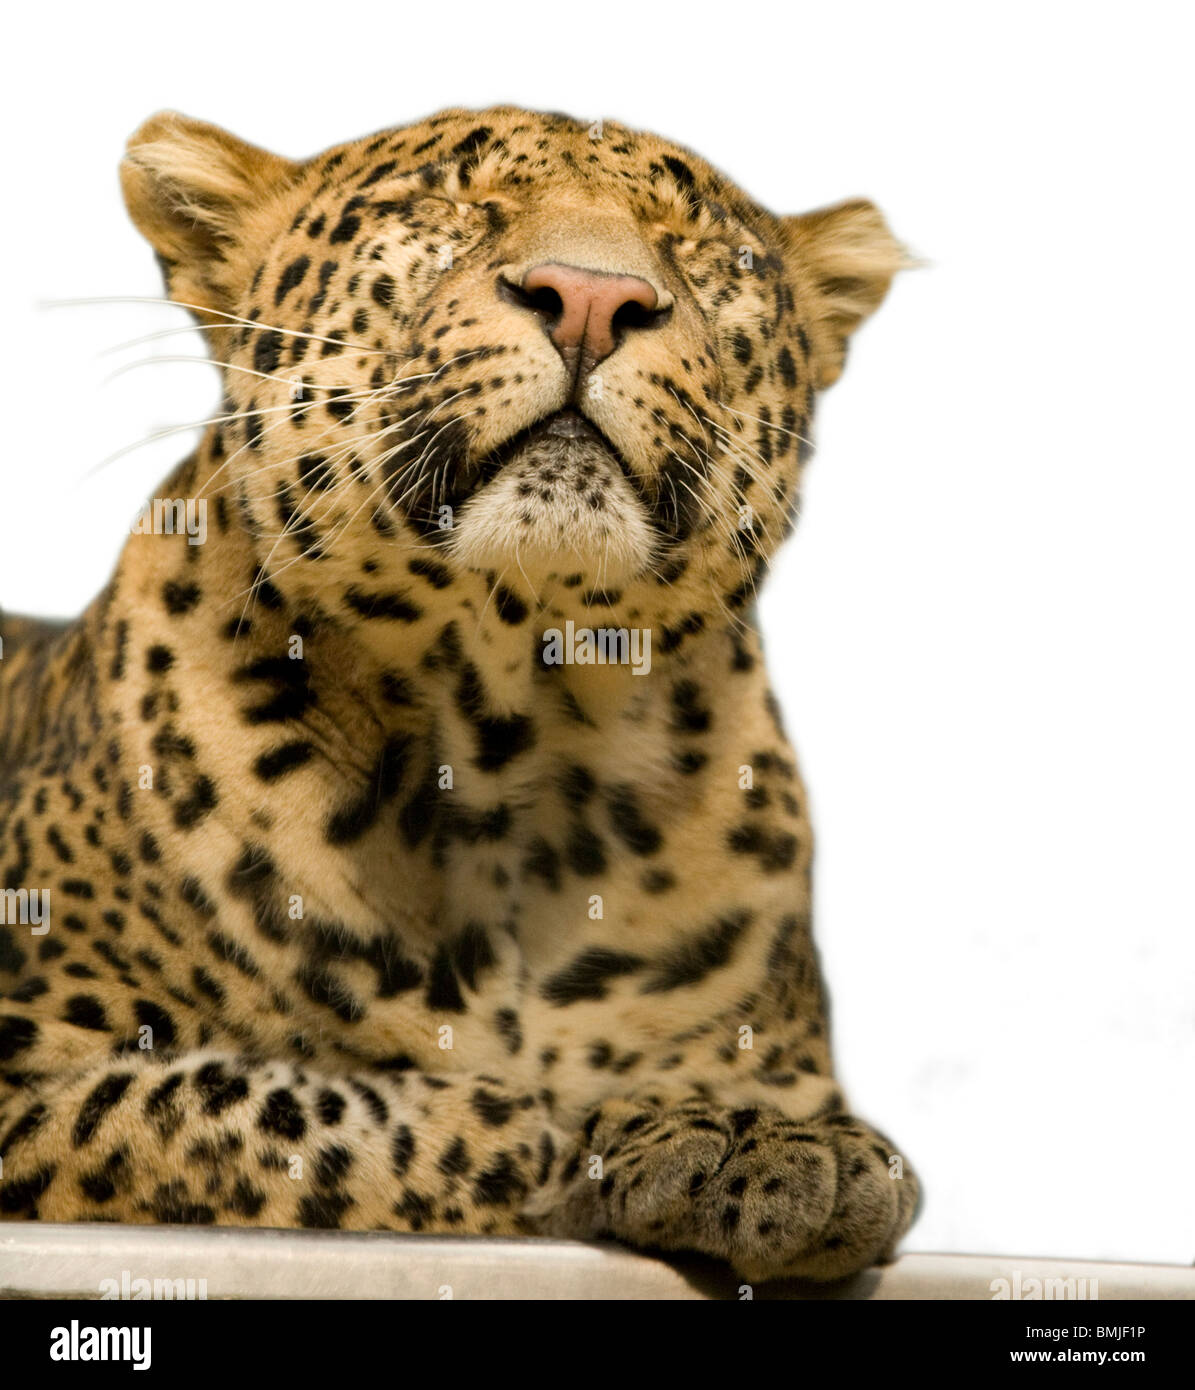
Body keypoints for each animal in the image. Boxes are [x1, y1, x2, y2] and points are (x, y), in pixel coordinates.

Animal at [0, 106, 918, 1286]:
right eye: (449, 205)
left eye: (702, 247)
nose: (590, 297)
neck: (507, 737)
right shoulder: (33, 1064)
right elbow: (276, 1112)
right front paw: (556, 1137)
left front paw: (773, 1142)